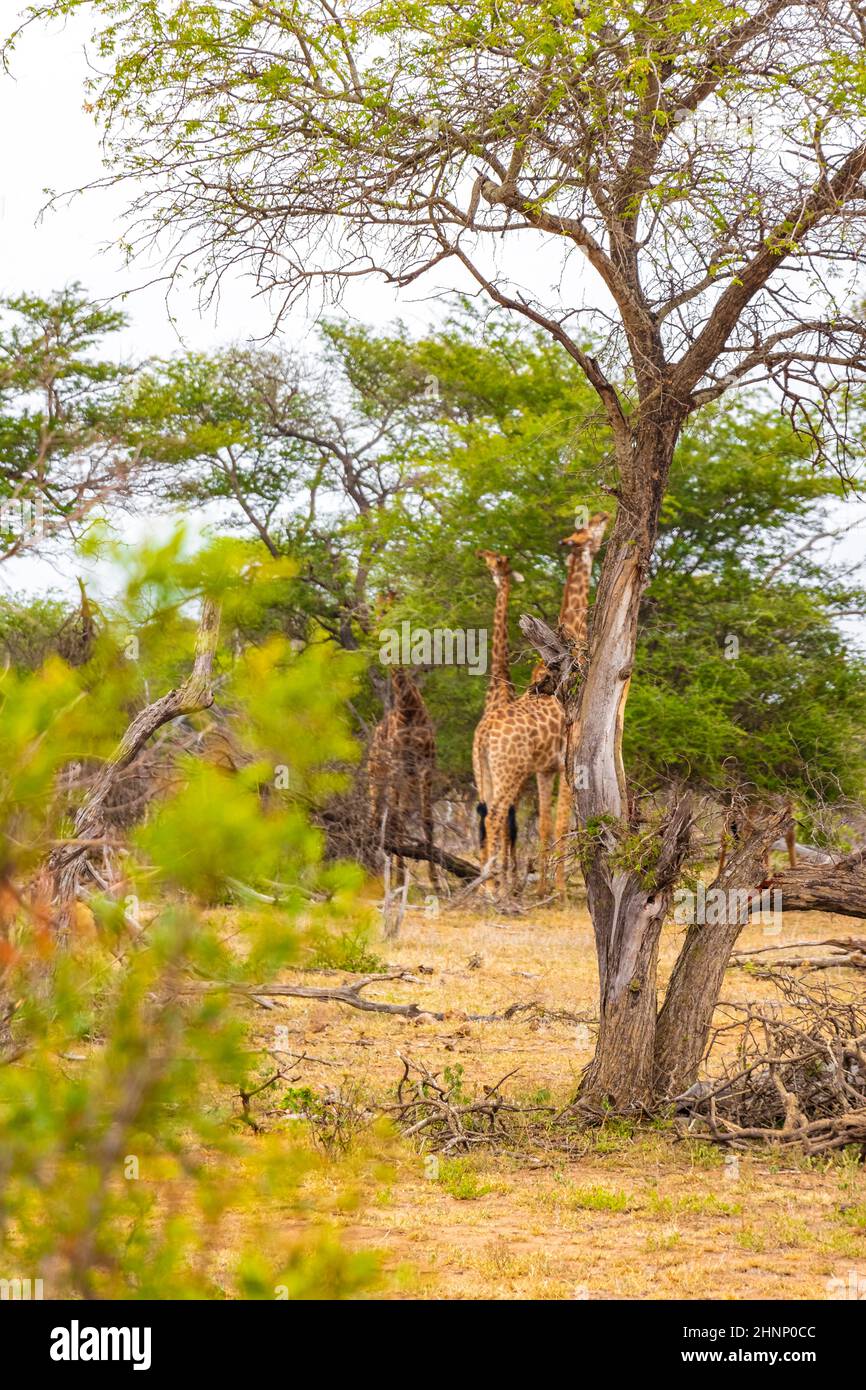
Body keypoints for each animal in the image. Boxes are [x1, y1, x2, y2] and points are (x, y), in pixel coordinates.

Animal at [368, 664, 441, 890]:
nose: (398, 669)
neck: (408, 708)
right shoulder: (397, 765)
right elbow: (396, 819)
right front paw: (399, 879)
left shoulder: (426, 763)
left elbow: (427, 819)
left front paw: (436, 882)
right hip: (377, 777)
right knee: (378, 817)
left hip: (408, 779)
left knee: (395, 816)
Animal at [476, 513, 609, 896]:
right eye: (590, 529)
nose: (605, 515)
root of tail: (484, 734)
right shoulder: (567, 762)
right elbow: (565, 821)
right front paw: (560, 889)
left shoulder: (545, 769)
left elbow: (547, 824)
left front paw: (543, 888)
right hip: (508, 771)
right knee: (495, 817)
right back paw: (493, 887)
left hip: (486, 771)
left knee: (490, 816)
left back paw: (489, 884)